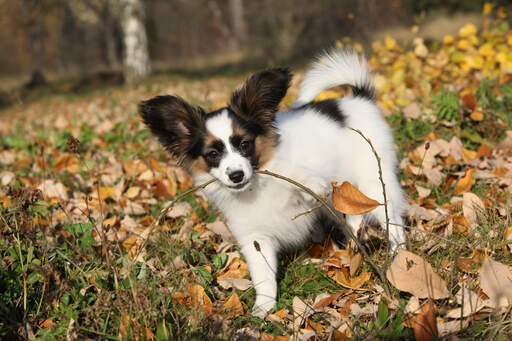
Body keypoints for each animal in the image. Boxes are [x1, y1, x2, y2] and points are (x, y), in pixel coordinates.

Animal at [140, 49, 408, 316]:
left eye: (245, 144)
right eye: (213, 154)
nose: (236, 175)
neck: (255, 187)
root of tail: (358, 99)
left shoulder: (287, 174)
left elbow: (295, 175)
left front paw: (311, 183)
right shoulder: (254, 236)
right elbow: (263, 274)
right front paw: (264, 307)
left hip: (374, 182)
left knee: (391, 220)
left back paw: (399, 255)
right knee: (353, 216)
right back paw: (353, 248)